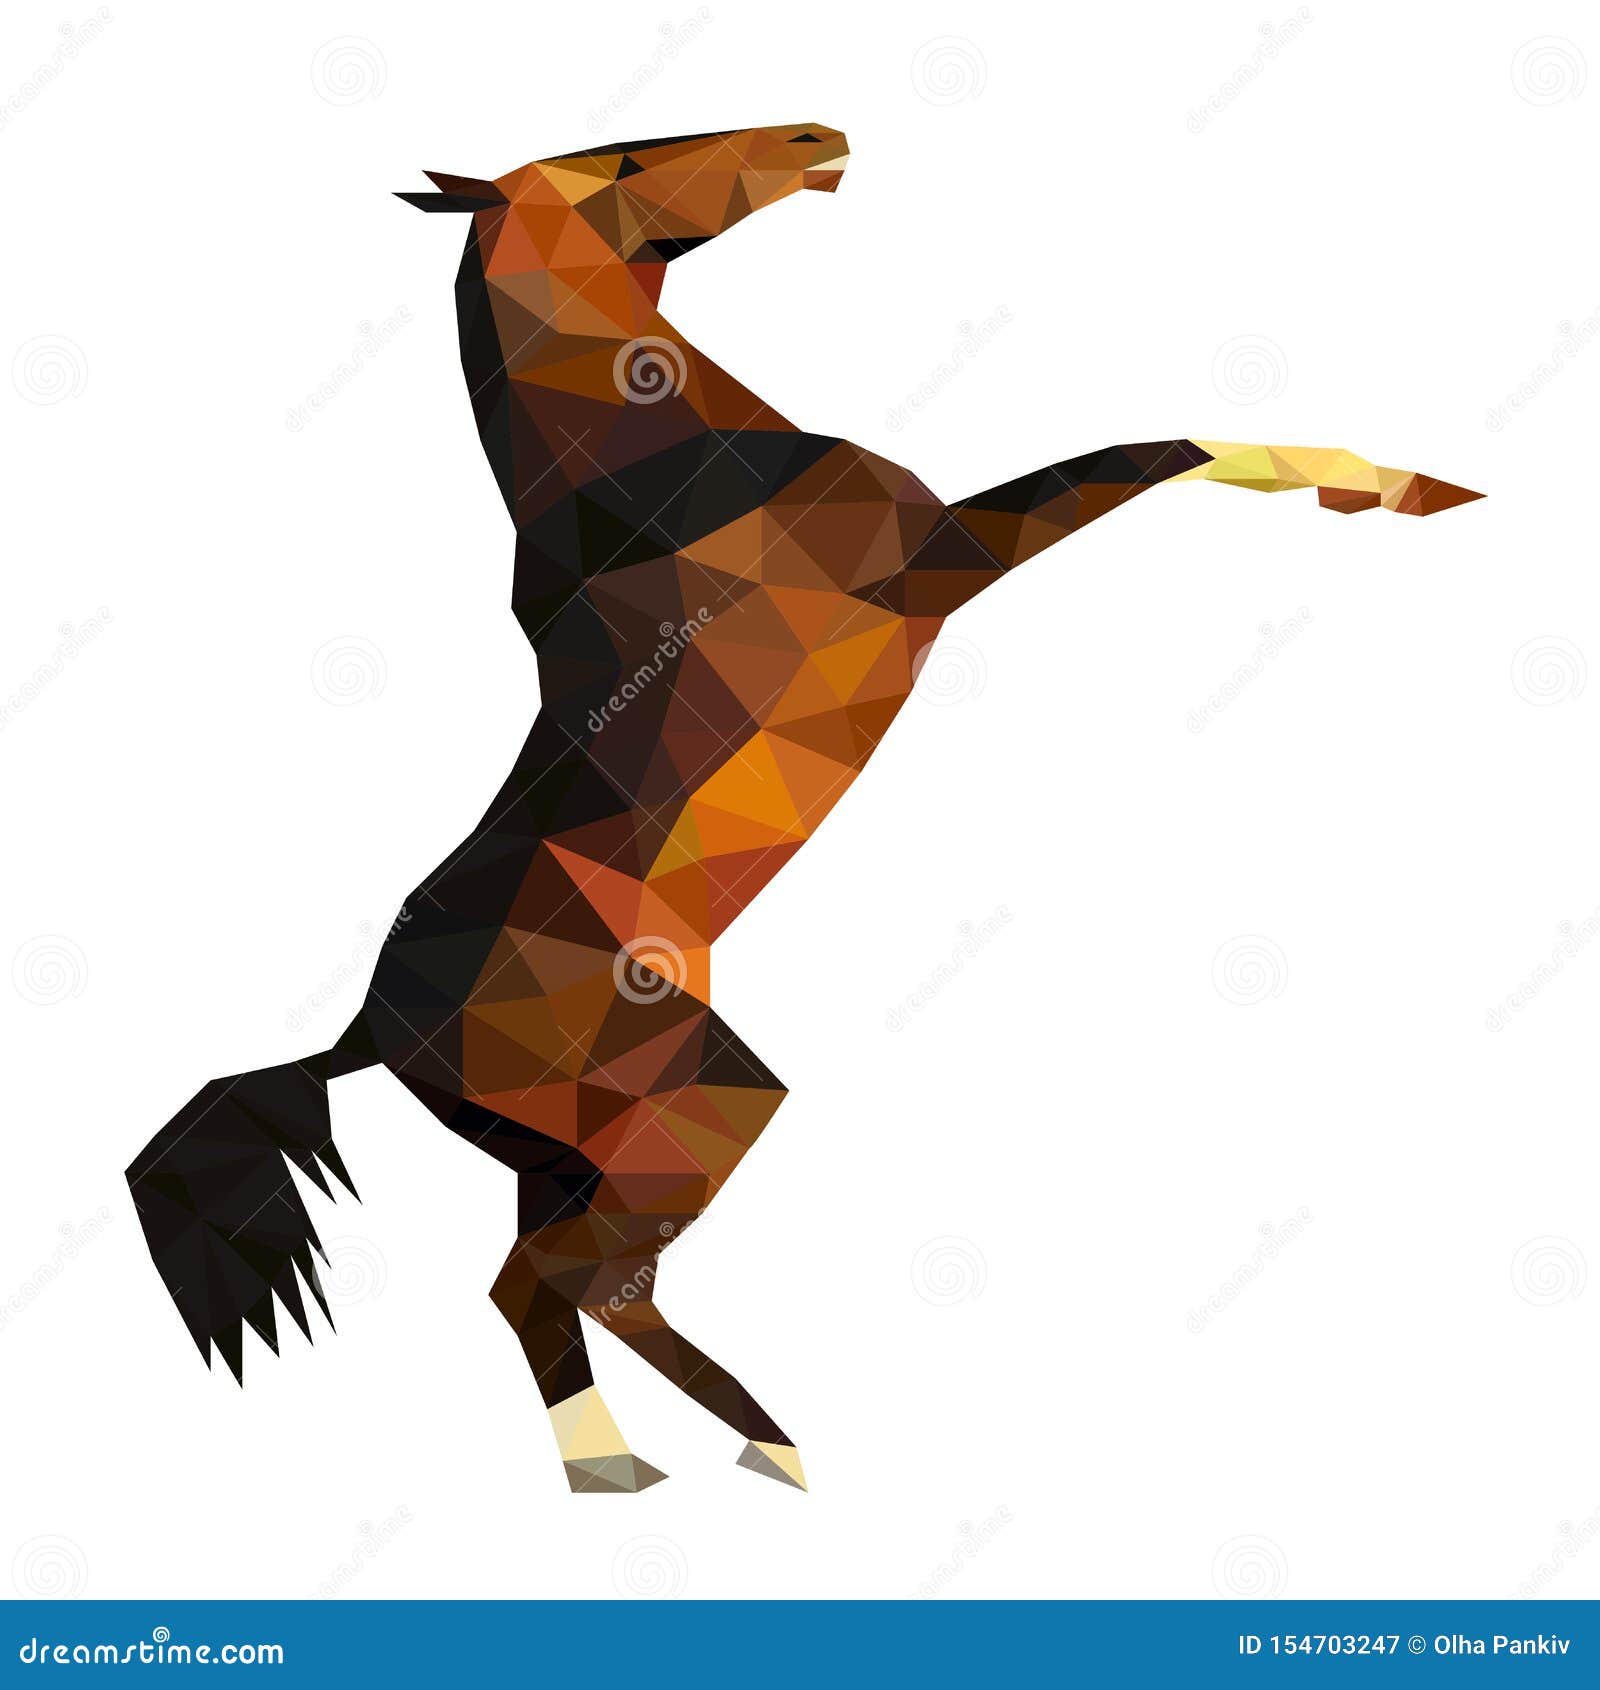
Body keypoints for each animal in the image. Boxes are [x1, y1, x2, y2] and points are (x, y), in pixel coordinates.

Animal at [128, 124, 1481, 1492]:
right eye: (620, 159)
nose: (815, 142)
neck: (662, 476)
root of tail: (366, 1028)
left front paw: (1402, 487)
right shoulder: (953, 552)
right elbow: (1156, 451)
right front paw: (1398, 489)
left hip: (562, 1156)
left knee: (547, 1290)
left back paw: (682, 1454)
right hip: (693, 1114)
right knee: (569, 1282)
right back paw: (711, 1453)